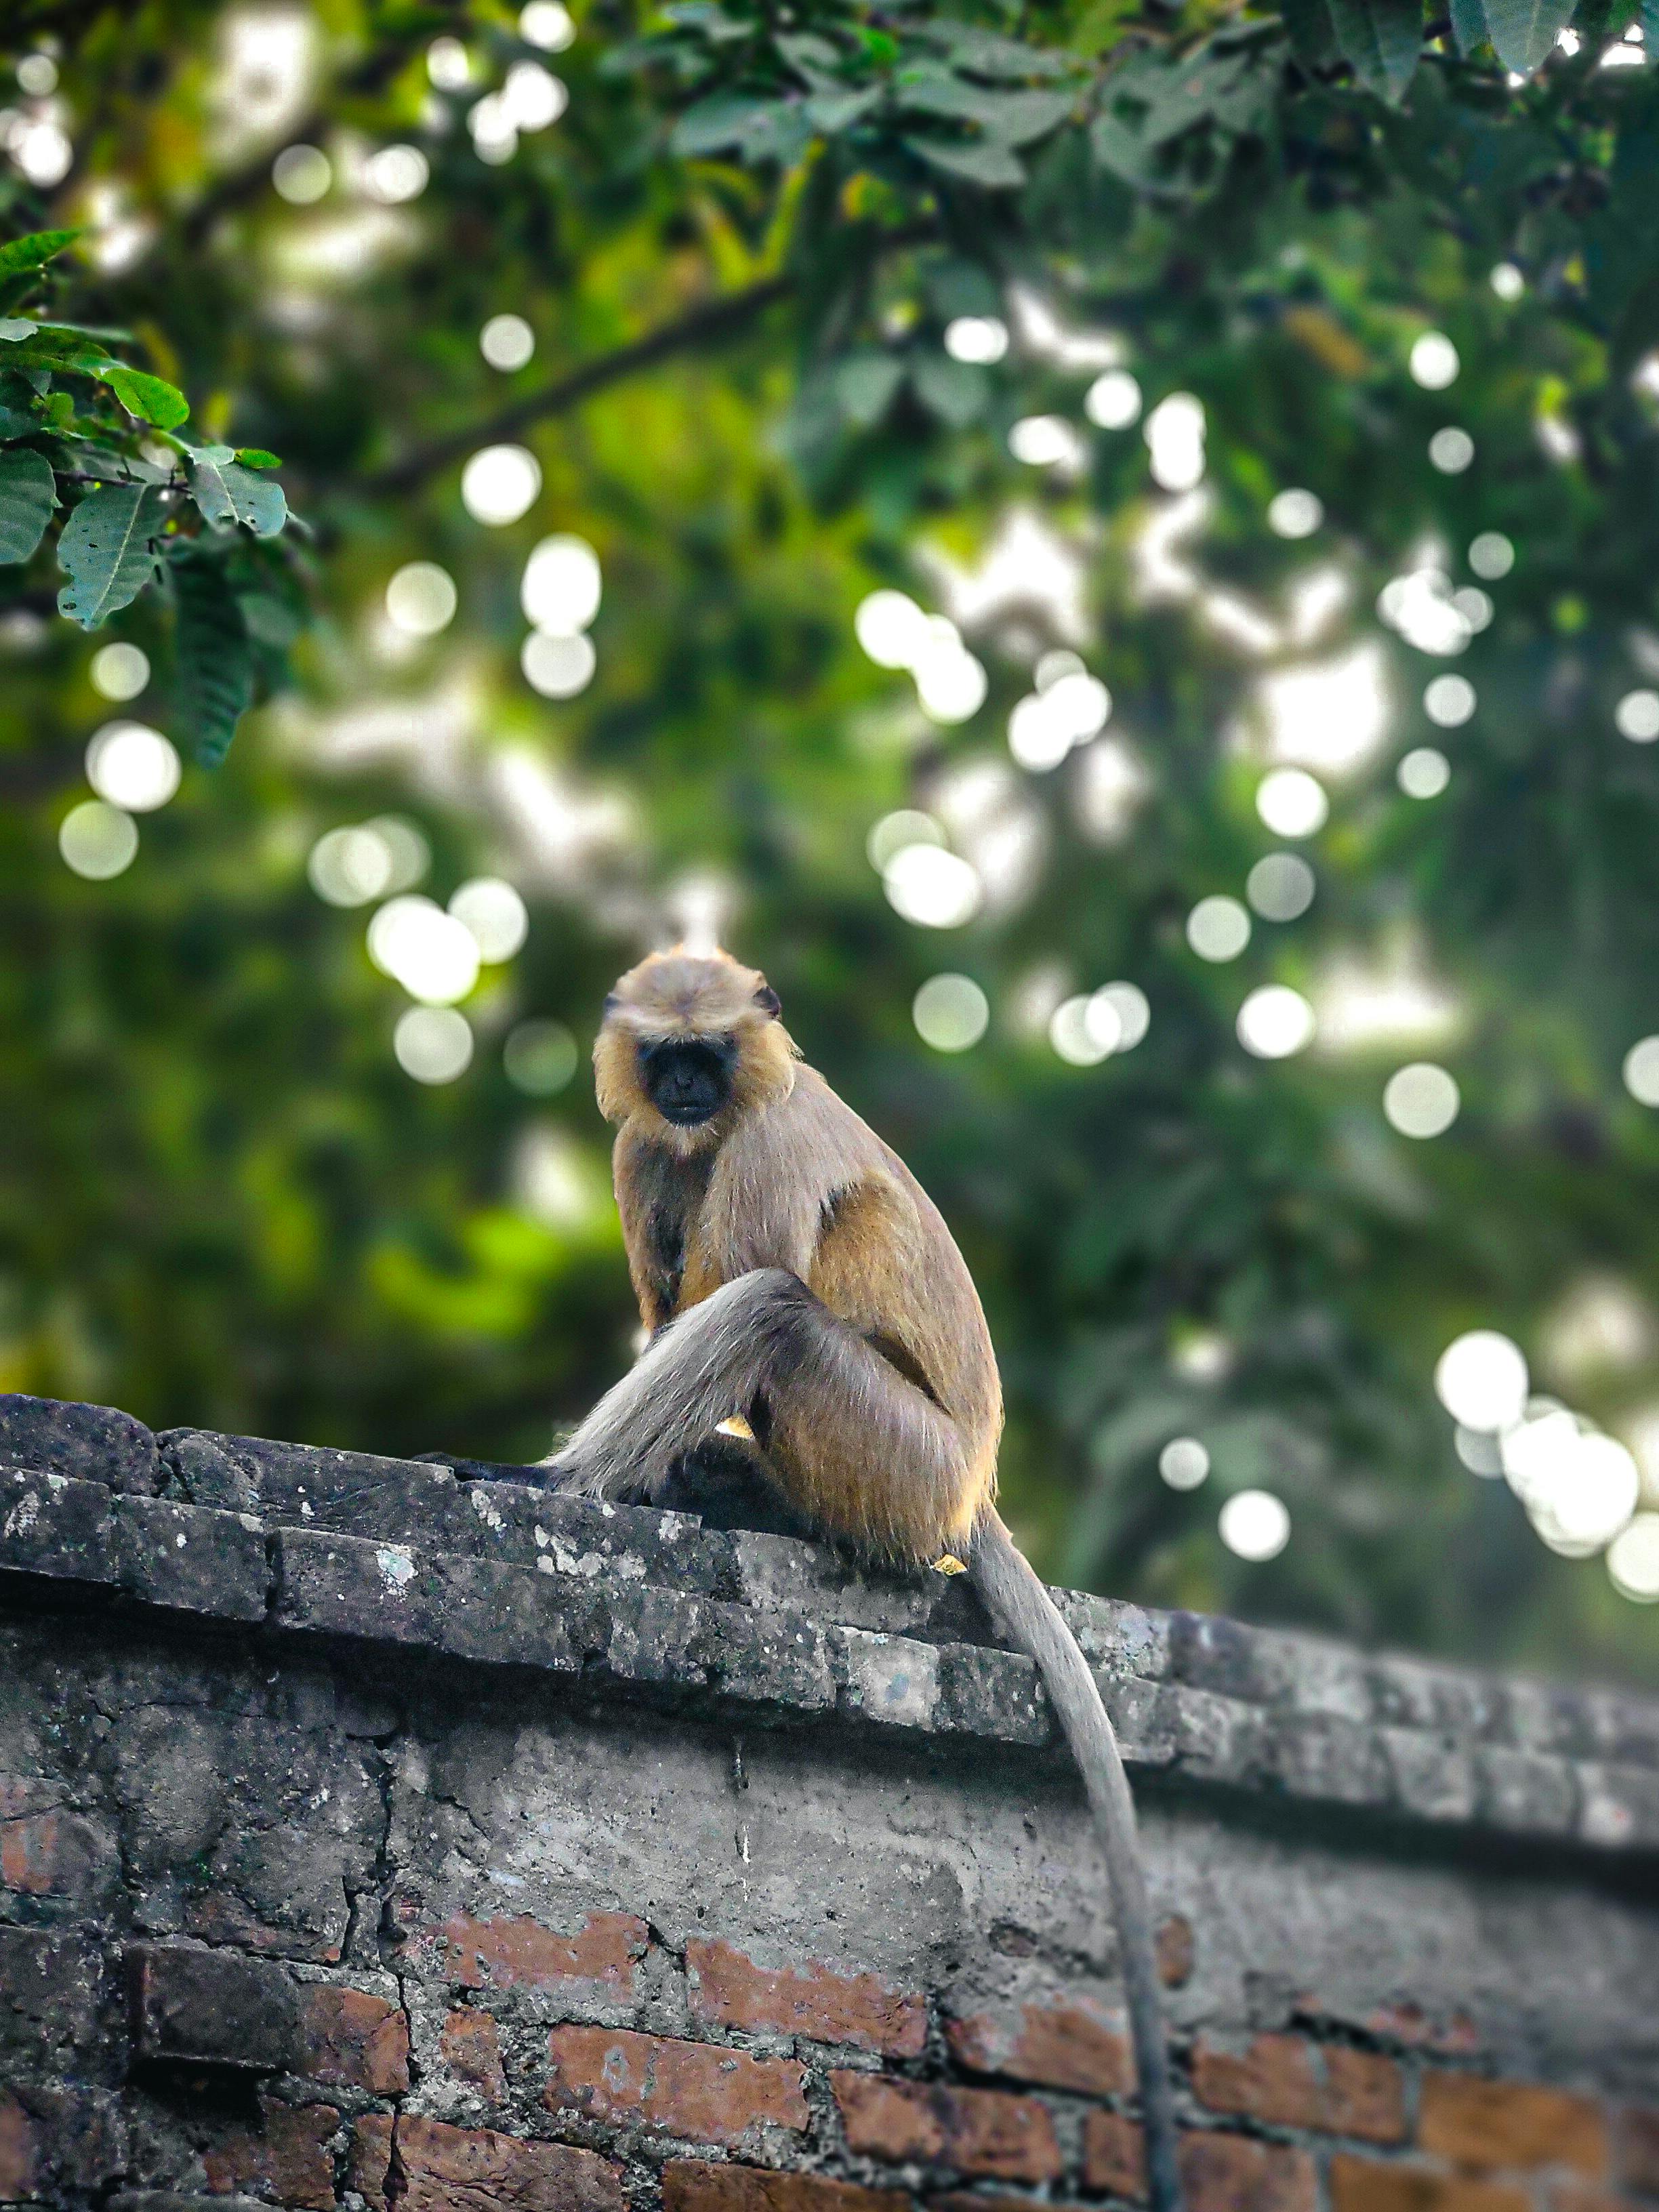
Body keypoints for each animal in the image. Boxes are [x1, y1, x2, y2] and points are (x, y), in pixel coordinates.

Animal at [542, 945, 1181, 2212]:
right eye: (666, 1056)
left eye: (709, 1054)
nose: (684, 1092)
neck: (713, 1122)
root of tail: (969, 1482)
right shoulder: (645, 1151)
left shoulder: (768, 1135)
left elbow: (725, 1286)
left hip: (896, 1457)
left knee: (769, 1306)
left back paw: (566, 1479)